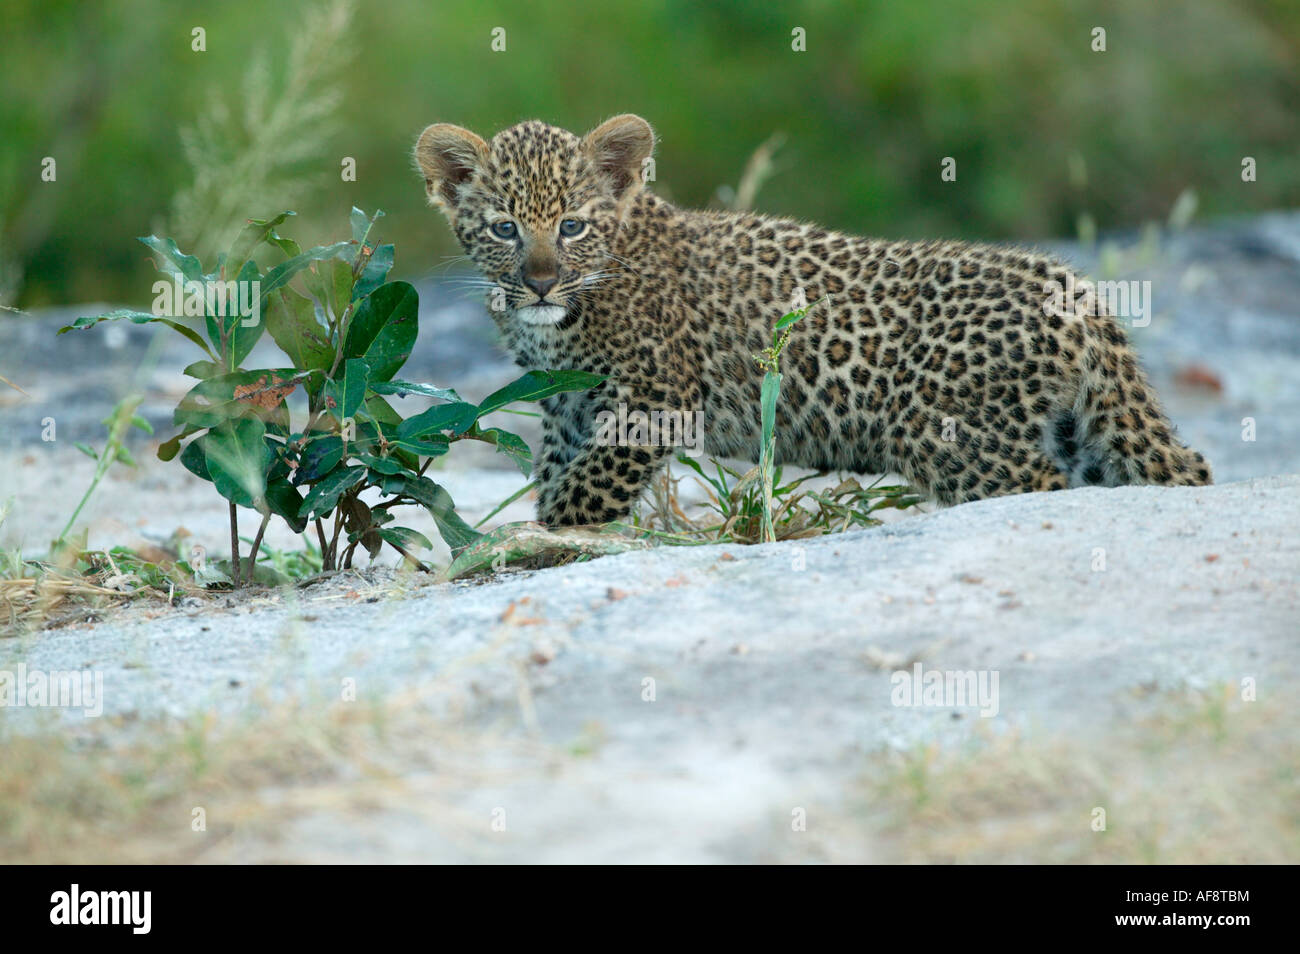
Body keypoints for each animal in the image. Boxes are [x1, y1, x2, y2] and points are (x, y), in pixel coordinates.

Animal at [413, 113, 1212, 527]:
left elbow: (583, 488)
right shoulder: (567, 404)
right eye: (506, 229)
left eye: (572, 226)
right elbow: (556, 471)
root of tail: (1072, 288)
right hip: (1080, 432)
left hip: (954, 436)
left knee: (1039, 486)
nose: (540, 280)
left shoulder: (652, 398)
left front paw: (549, 534)